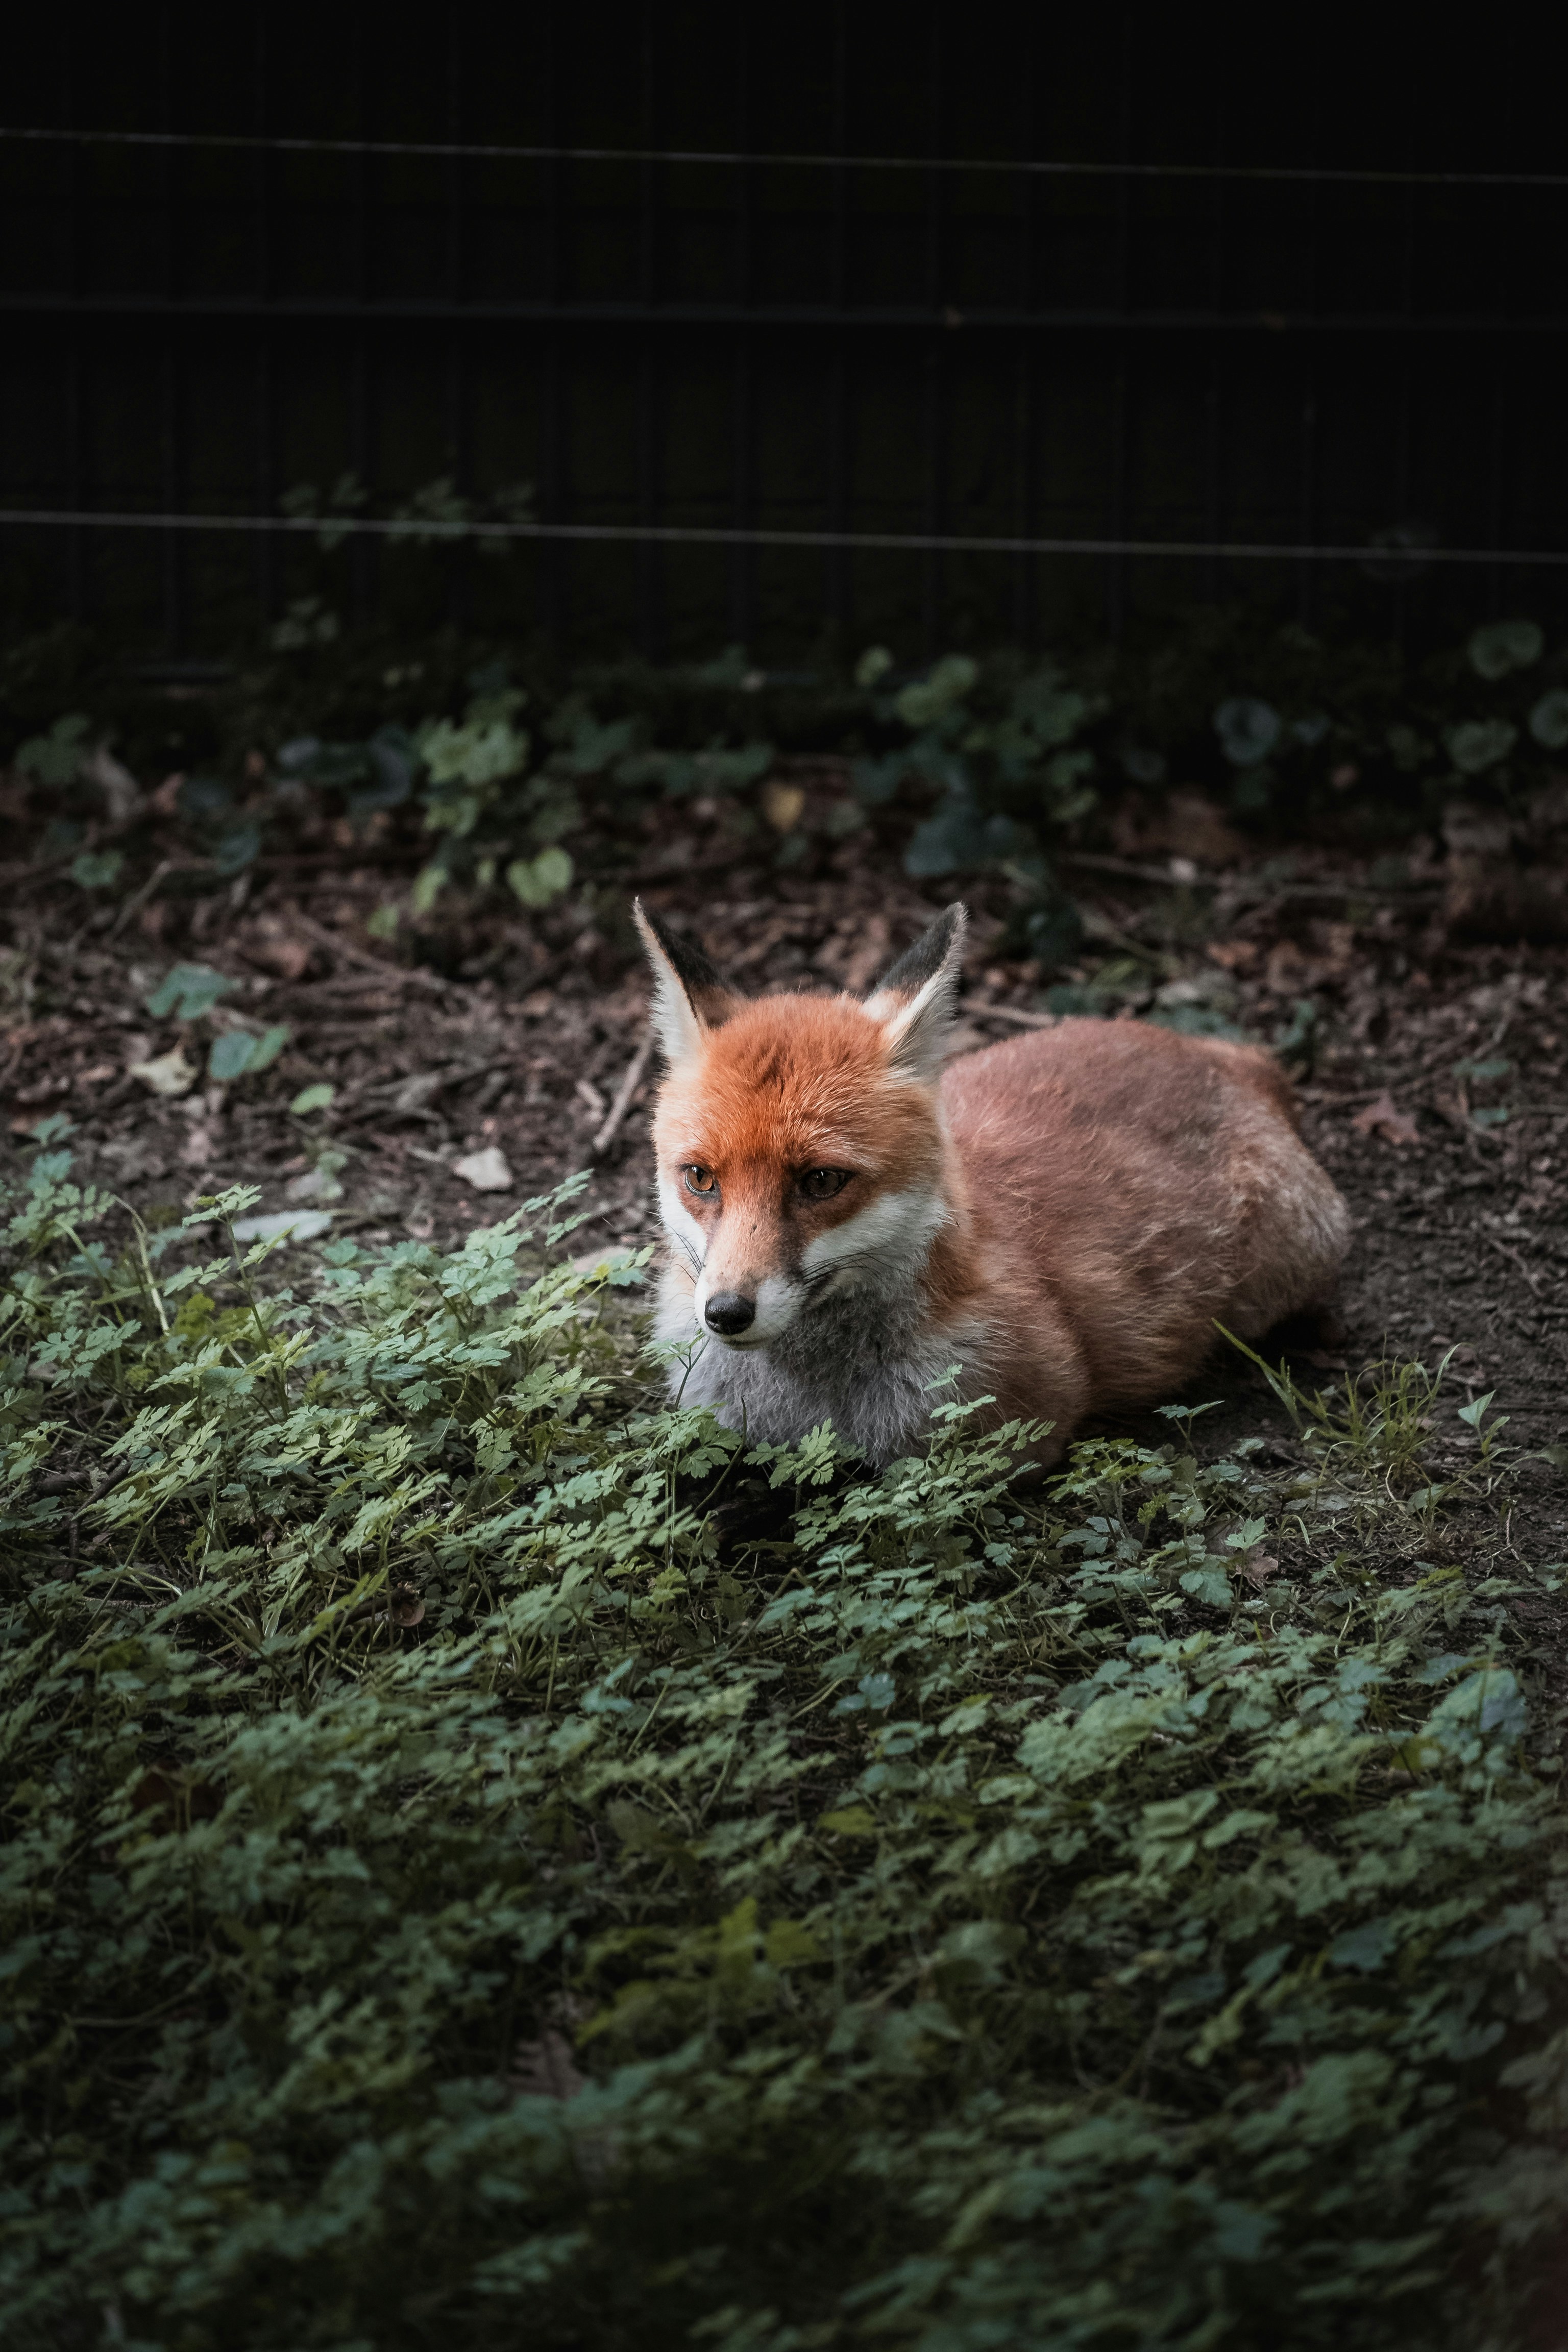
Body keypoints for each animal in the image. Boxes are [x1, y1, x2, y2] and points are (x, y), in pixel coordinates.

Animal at [634, 898, 1350, 1467]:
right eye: (700, 1178)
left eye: (821, 1181)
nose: (726, 1313)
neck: (811, 1402)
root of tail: (1227, 1057)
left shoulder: (1017, 1429)